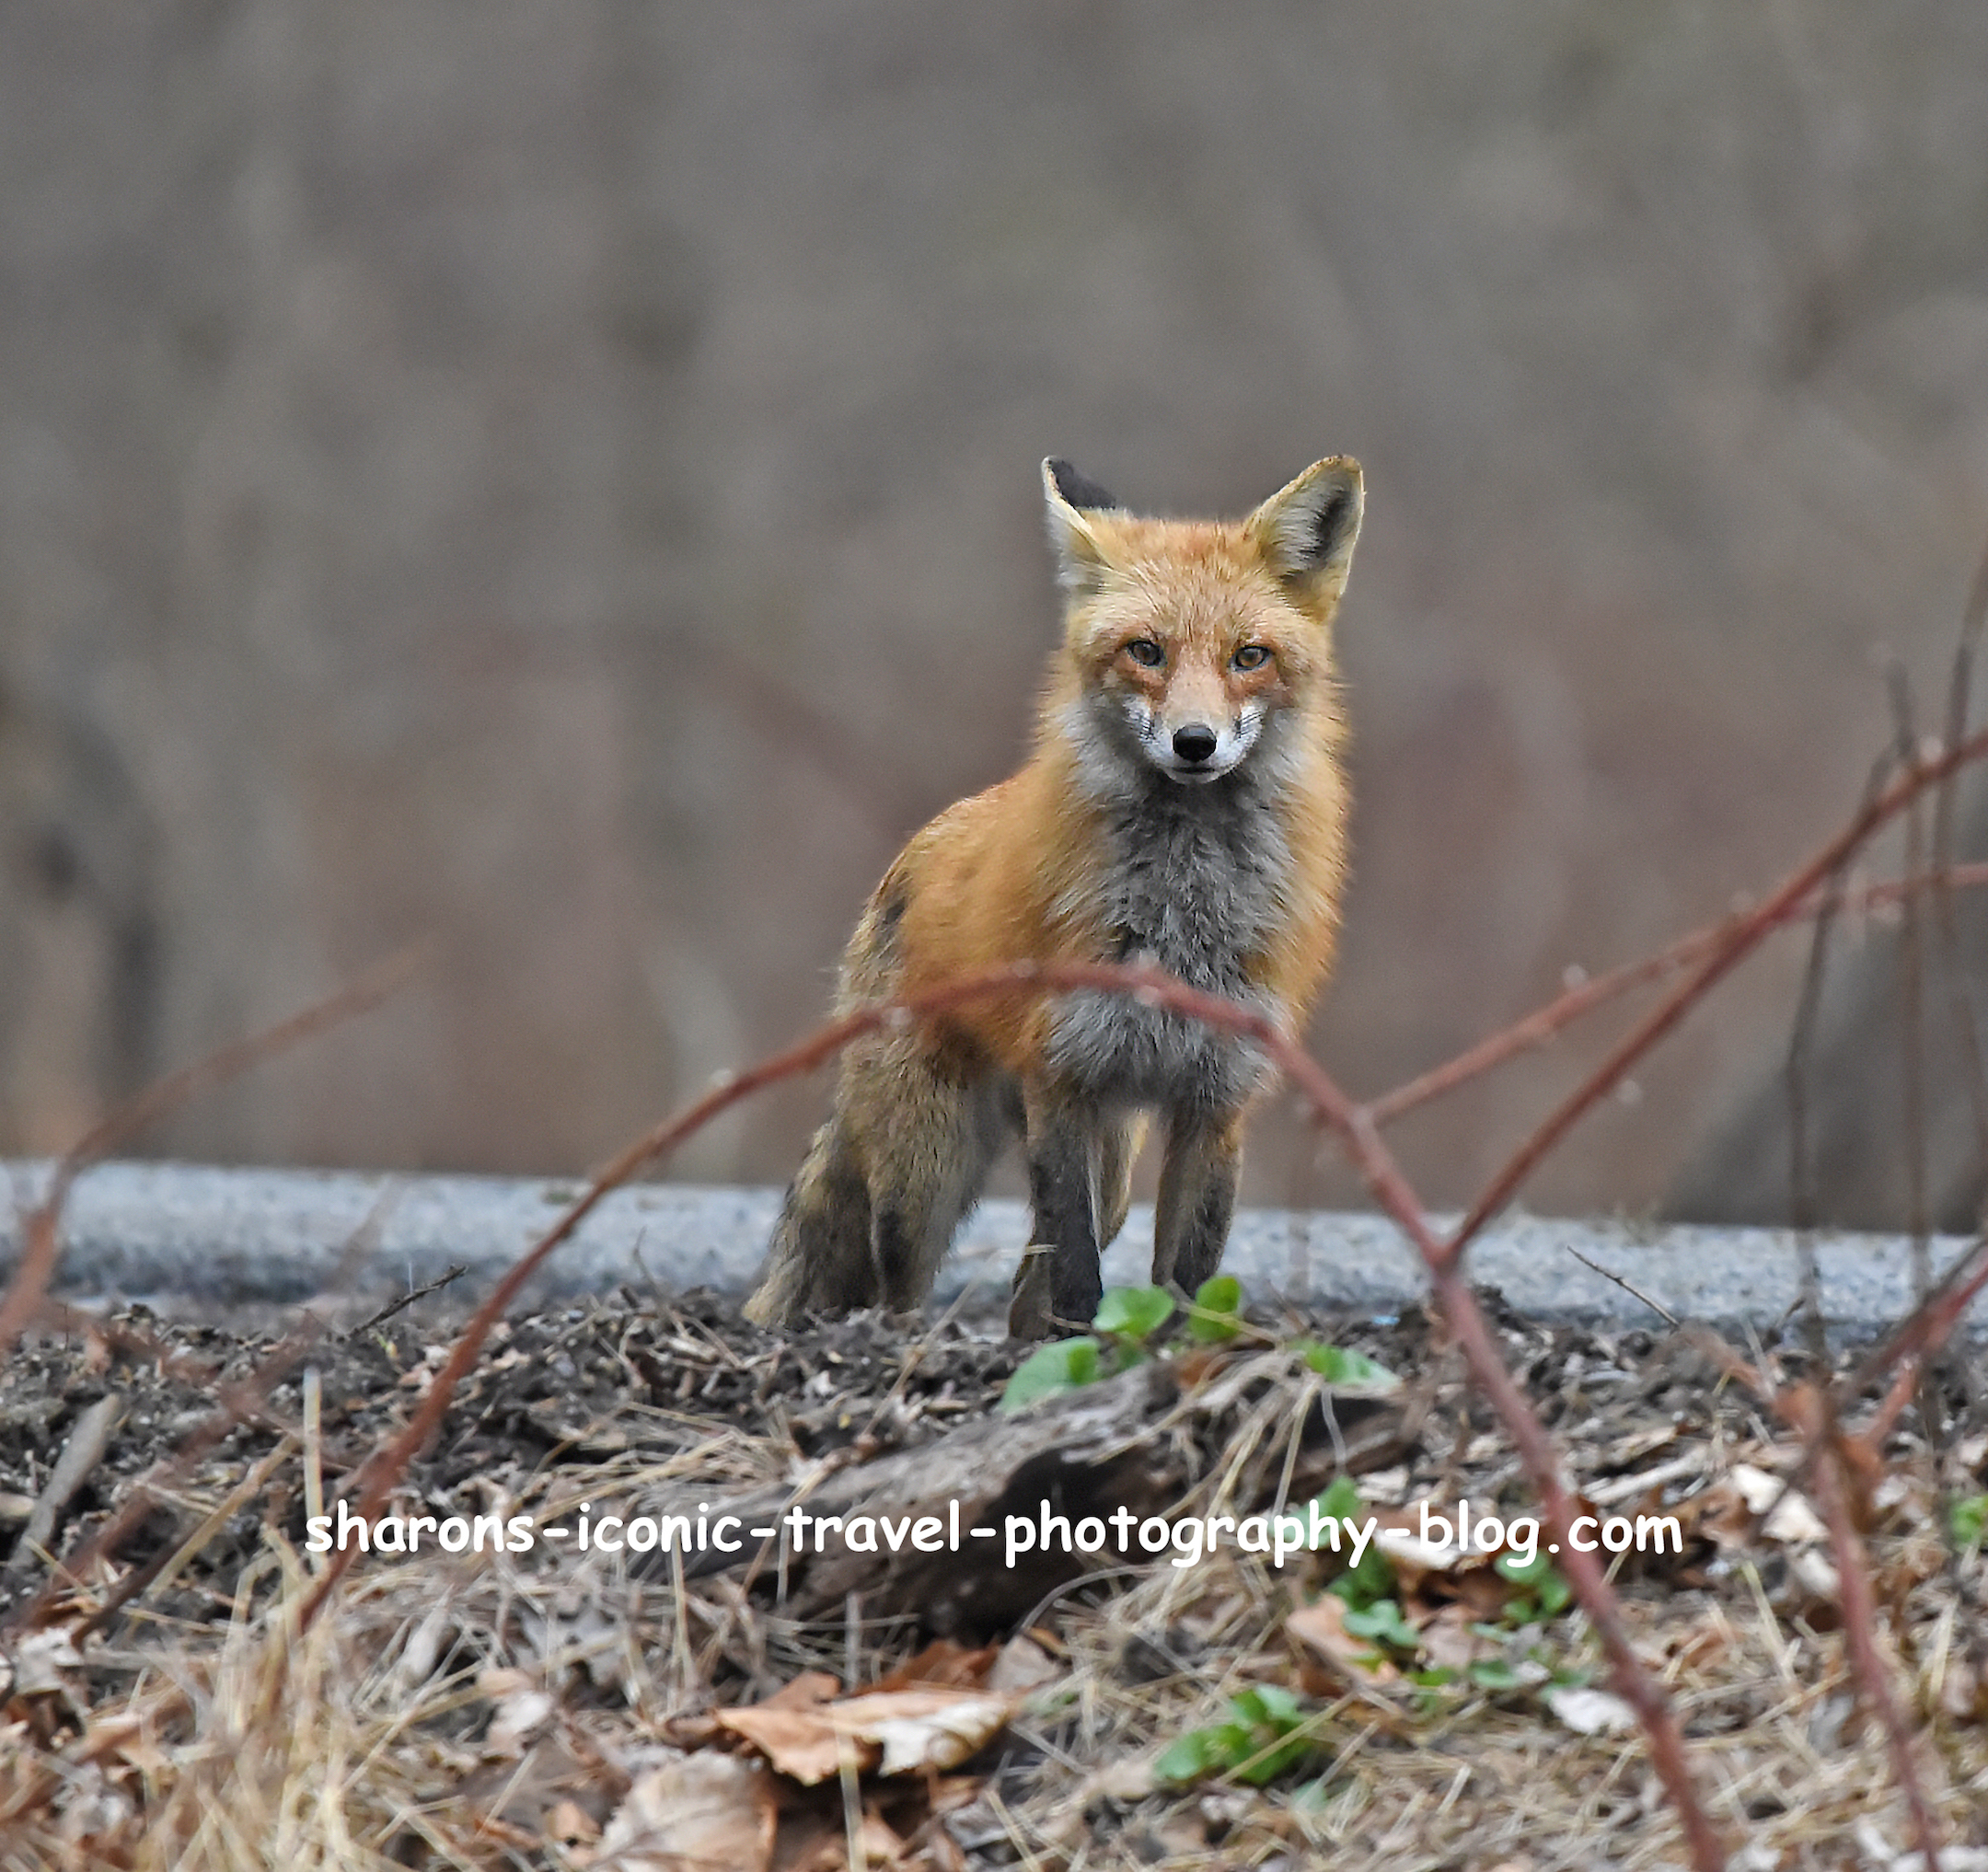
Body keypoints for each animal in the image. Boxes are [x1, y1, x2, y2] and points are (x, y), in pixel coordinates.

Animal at [742, 454, 1362, 1337]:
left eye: (1249, 657)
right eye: (1146, 651)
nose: (1196, 742)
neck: (1179, 915)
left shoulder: (1216, 1095)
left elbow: (1184, 1277)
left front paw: (1165, 1353)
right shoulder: (1061, 1074)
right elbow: (1075, 1269)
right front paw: (1085, 1344)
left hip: (1116, 1167)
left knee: (1020, 1294)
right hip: (926, 1170)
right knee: (903, 1290)